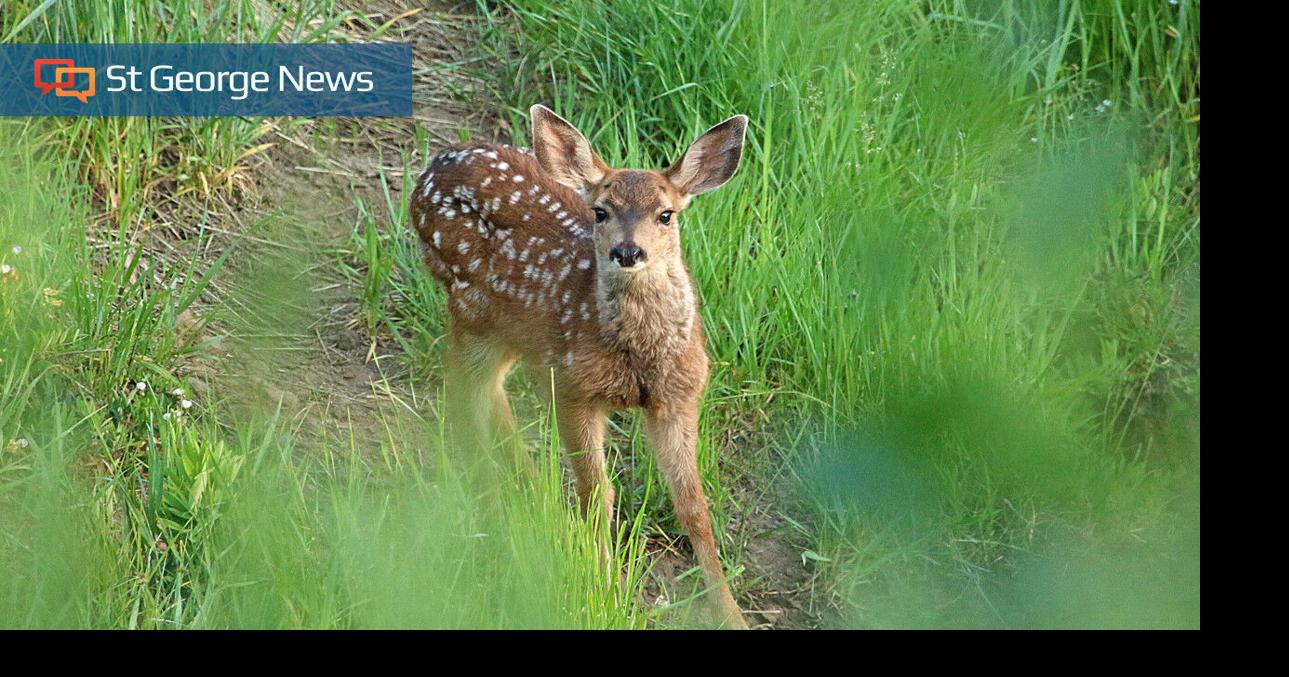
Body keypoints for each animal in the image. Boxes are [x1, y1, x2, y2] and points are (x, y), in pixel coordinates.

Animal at [409, 104, 750, 629]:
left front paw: (732, 613)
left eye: (666, 214)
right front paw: (607, 586)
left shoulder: (678, 396)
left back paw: (537, 500)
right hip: (469, 304)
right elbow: (598, 494)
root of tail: (431, 168)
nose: (627, 251)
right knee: (465, 393)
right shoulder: (574, 388)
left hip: (513, 330)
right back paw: (494, 502)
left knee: (490, 391)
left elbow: (693, 505)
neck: (638, 356)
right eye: (601, 212)